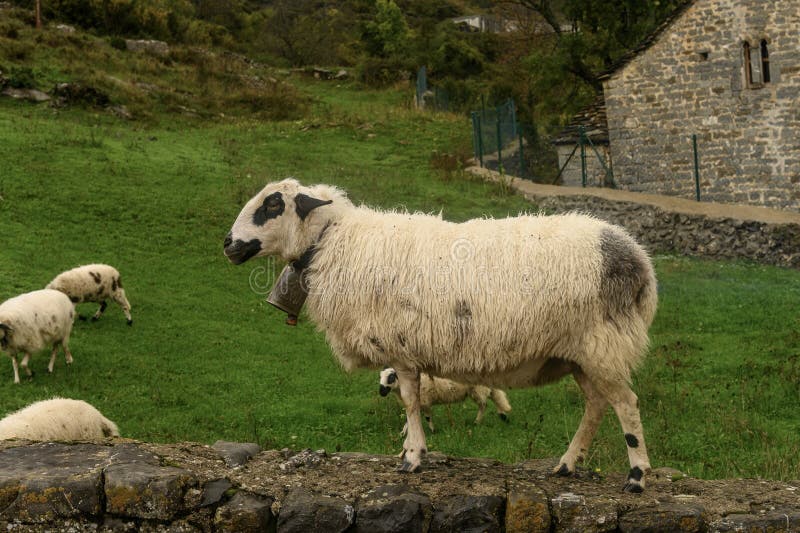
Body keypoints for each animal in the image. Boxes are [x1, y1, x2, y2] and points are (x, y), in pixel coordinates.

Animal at [379, 367, 511, 433]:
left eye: (391, 377)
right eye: (380, 376)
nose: (381, 392)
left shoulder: (424, 401)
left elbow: (427, 417)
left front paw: (433, 430)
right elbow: (409, 419)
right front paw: (403, 433)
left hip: (478, 389)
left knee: (484, 404)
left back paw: (477, 422)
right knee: (495, 395)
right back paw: (503, 416)